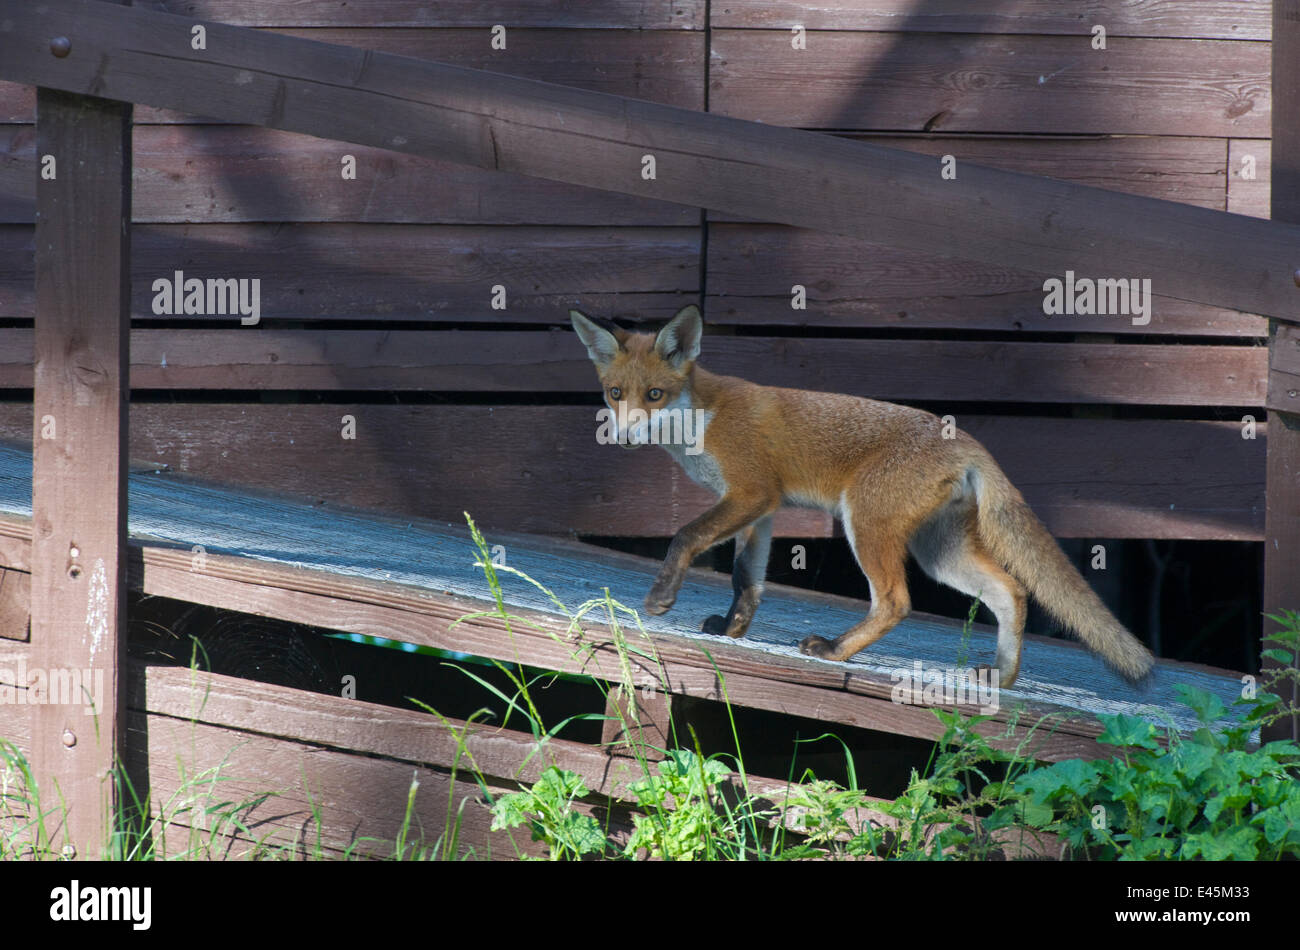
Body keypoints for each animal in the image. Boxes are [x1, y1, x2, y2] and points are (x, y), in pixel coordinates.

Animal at [569, 304, 1155, 689]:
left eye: (655, 395)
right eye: (616, 394)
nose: (624, 435)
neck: (701, 421)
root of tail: (964, 438)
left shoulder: (751, 492)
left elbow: (685, 536)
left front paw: (660, 599)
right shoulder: (760, 510)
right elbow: (746, 580)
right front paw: (734, 628)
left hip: (865, 524)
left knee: (896, 601)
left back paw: (834, 650)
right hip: (940, 553)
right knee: (1011, 590)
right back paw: (1003, 679)